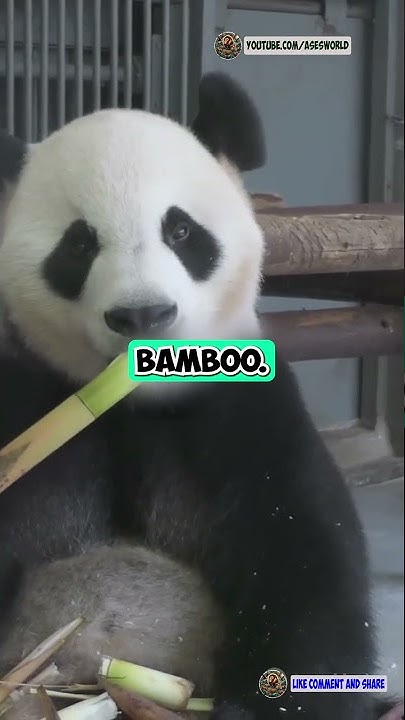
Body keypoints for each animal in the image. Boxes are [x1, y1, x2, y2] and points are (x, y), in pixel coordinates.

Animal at [0, 73, 399, 720]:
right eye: (79, 246)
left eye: (181, 231)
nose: (143, 314)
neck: (136, 401)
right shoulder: (30, 402)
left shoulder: (242, 414)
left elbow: (303, 565)